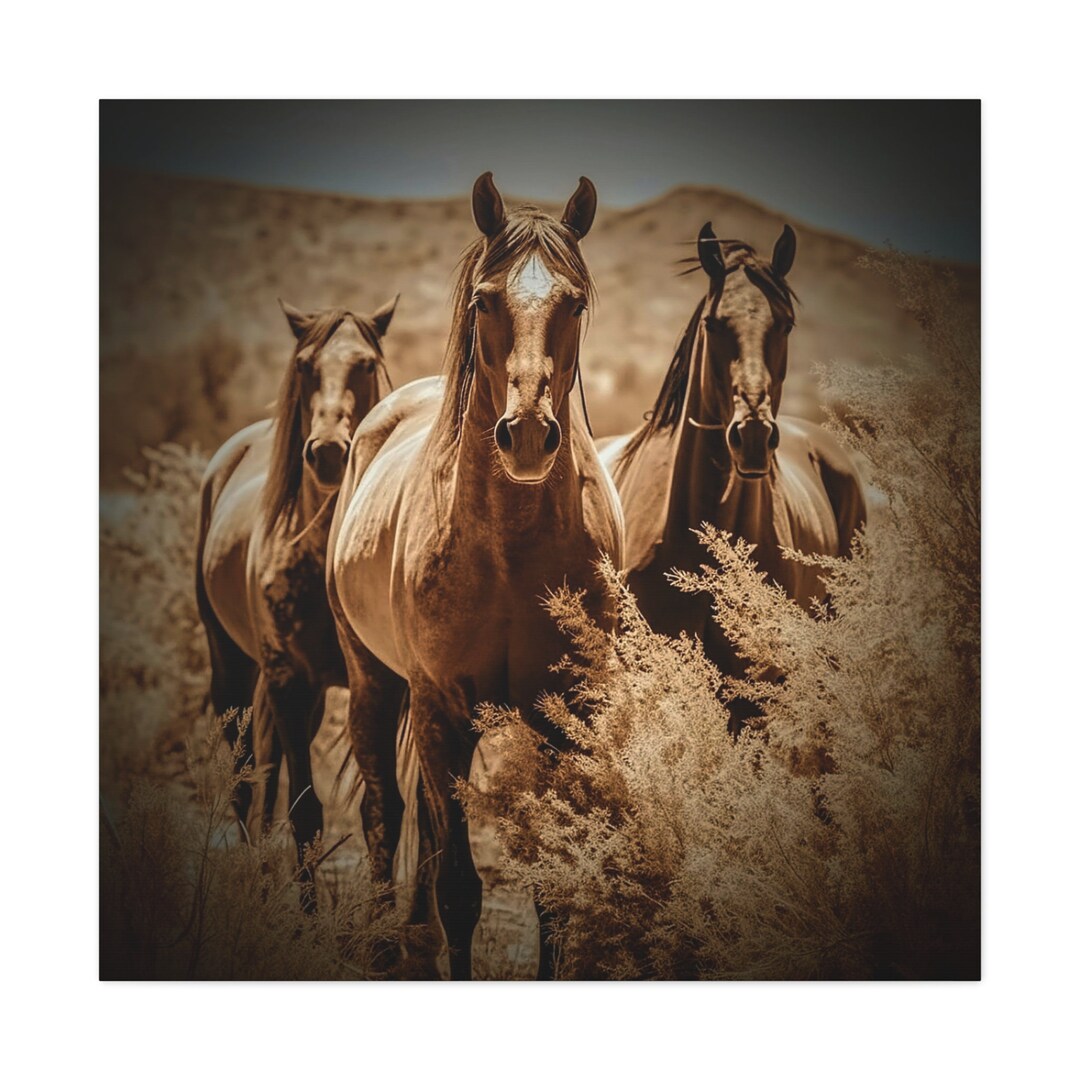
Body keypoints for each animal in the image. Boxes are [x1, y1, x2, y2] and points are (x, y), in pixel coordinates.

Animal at [195, 298, 397, 909]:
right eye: (306, 365)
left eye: (365, 364)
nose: (328, 452)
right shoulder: (289, 682)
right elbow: (306, 812)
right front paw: (305, 919)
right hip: (232, 668)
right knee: (245, 778)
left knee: (266, 768)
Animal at [327, 173, 623, 978]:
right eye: (485, 299)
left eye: (574, 301)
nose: (526, 436)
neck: (508, 552)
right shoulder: (442, 707)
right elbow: (459, 889)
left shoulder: (564, 714)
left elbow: (553, 882)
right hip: (377, 685)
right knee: (388, 815)